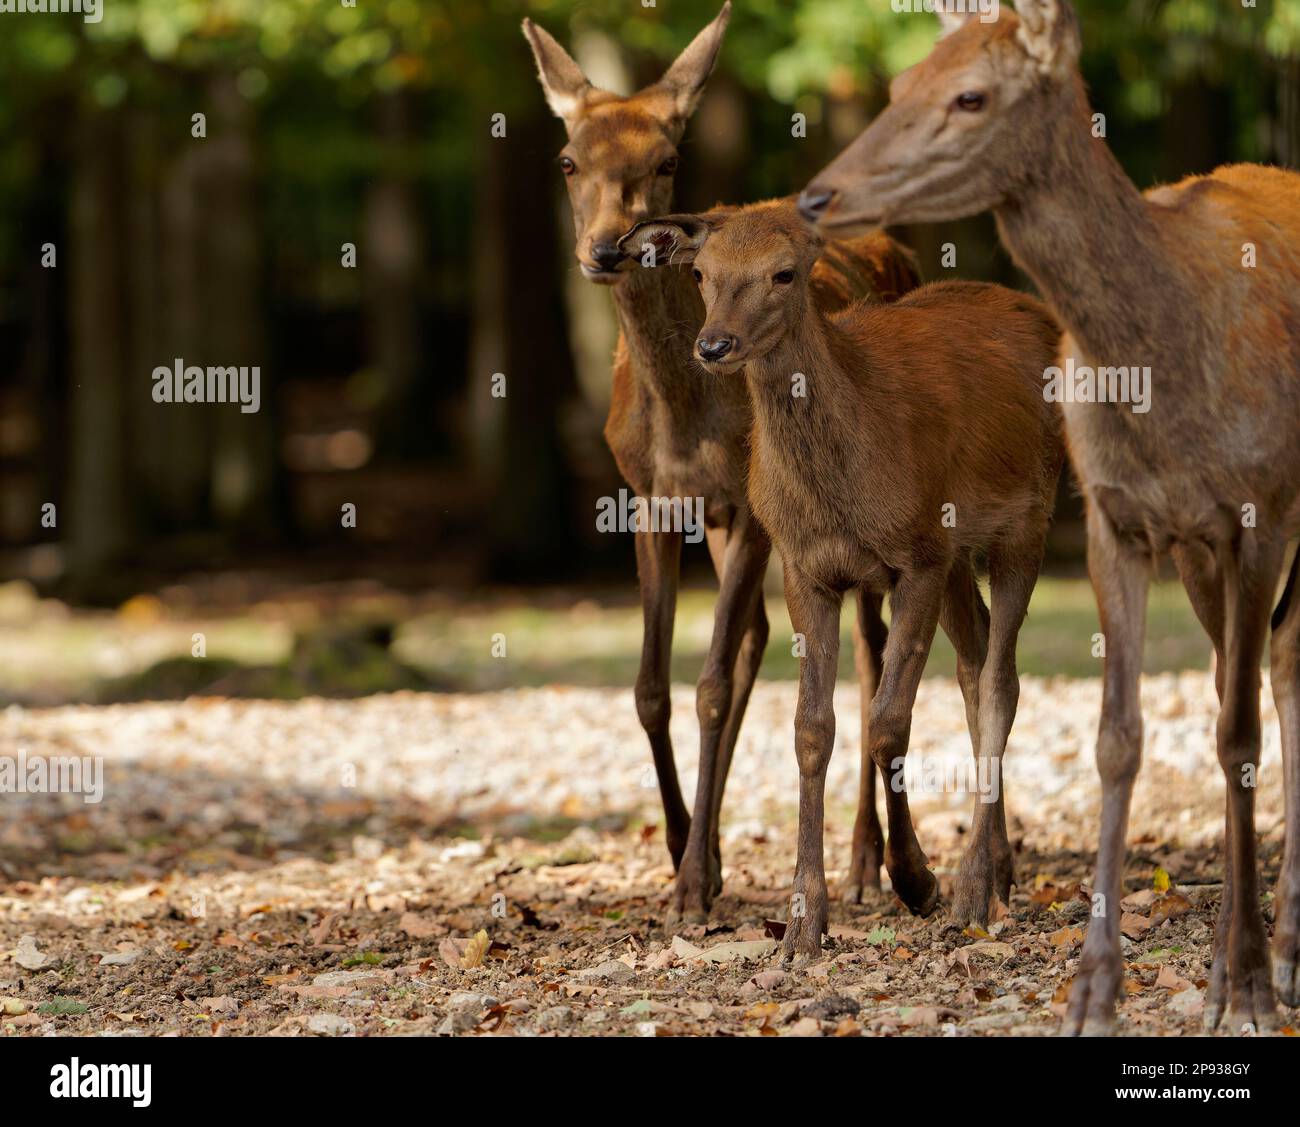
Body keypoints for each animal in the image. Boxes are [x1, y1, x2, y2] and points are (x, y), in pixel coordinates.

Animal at [522, 4, 921, 923]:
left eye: (667, 159)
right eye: (568, 159)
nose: (607, 249)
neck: (681, 417)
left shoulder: (753, 502)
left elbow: (708, 682)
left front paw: (695, 884)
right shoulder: (648, 498)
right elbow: (653, 684)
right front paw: (682, 852)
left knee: (870, 651)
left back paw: (866, 862)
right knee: (762, 641)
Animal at [619, 198, 1064, 958]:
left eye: (784, 272)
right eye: (702, 272)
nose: (713, 345)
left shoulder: (919, 553)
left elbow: (887, 720)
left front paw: (916, 880)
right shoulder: (807, 567)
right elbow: (811, 728)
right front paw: (802, 922)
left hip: (1027, 520)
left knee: (1002, 680)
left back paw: (972, 891)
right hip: (960, 556)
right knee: (975, 668)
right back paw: (1000, 872)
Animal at [798, 0, 1300, 1033]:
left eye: (971, 95)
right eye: (900, 80)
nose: (820, 196)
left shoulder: (1262, 506)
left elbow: (1236, 734)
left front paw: (1251, 985)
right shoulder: (1119, 519)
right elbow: (1120, 737)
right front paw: (1098, 990)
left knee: (1275, 681)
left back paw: (1274, 948)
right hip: (1199, 556)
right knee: (1259, 667)